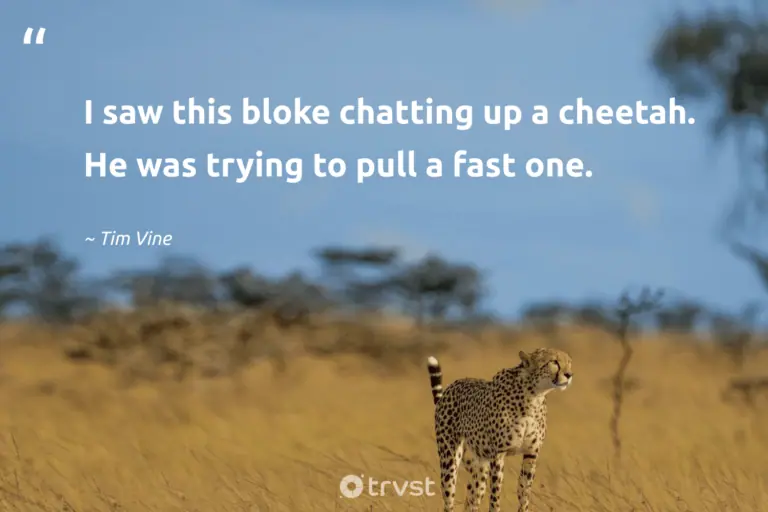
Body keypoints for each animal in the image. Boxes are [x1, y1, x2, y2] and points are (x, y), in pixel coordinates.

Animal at [426, 348, 573, 512]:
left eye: (569, 362)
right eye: (554, 362)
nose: (569, 375)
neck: (533, 396)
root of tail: (452, 386)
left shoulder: (531, 453)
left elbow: (524, 490)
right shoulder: (498, 454)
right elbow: (496, 493)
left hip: (480, 467)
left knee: (472, 498)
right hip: (449, 459)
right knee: (449, 497)